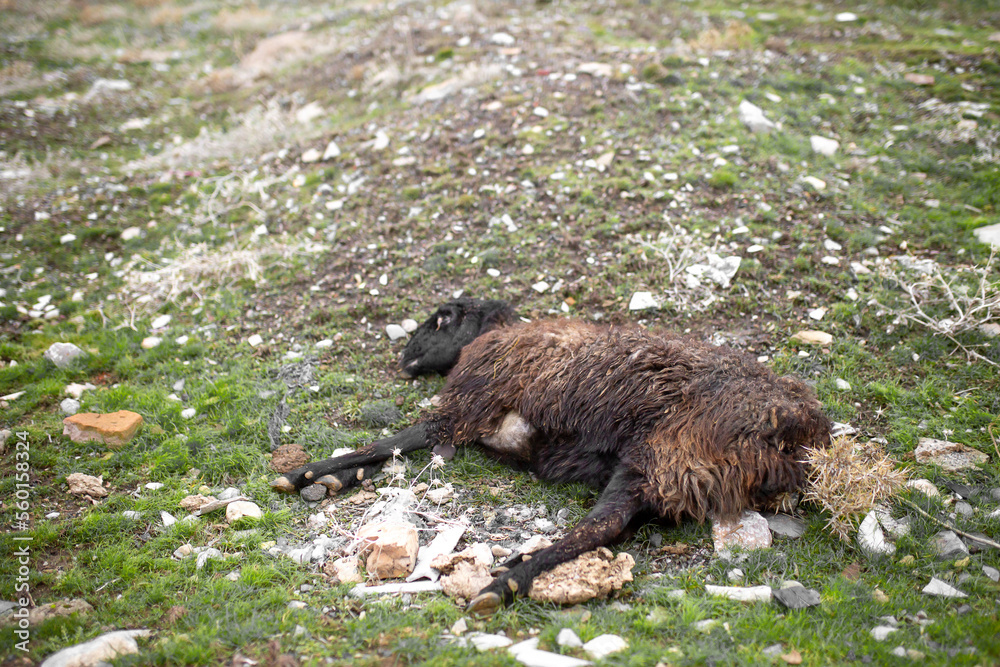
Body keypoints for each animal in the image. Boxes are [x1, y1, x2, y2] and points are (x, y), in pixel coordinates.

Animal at [273, 311, 831, 615]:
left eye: (441, 319)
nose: (405, 360)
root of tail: (798, 434)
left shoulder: (465, 409)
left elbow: (397, 438)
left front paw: (304, 472)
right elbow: (392, 450)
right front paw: (334, 477)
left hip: (664, 453)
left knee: (604, 523)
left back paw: (506, 581)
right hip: (679, 471)